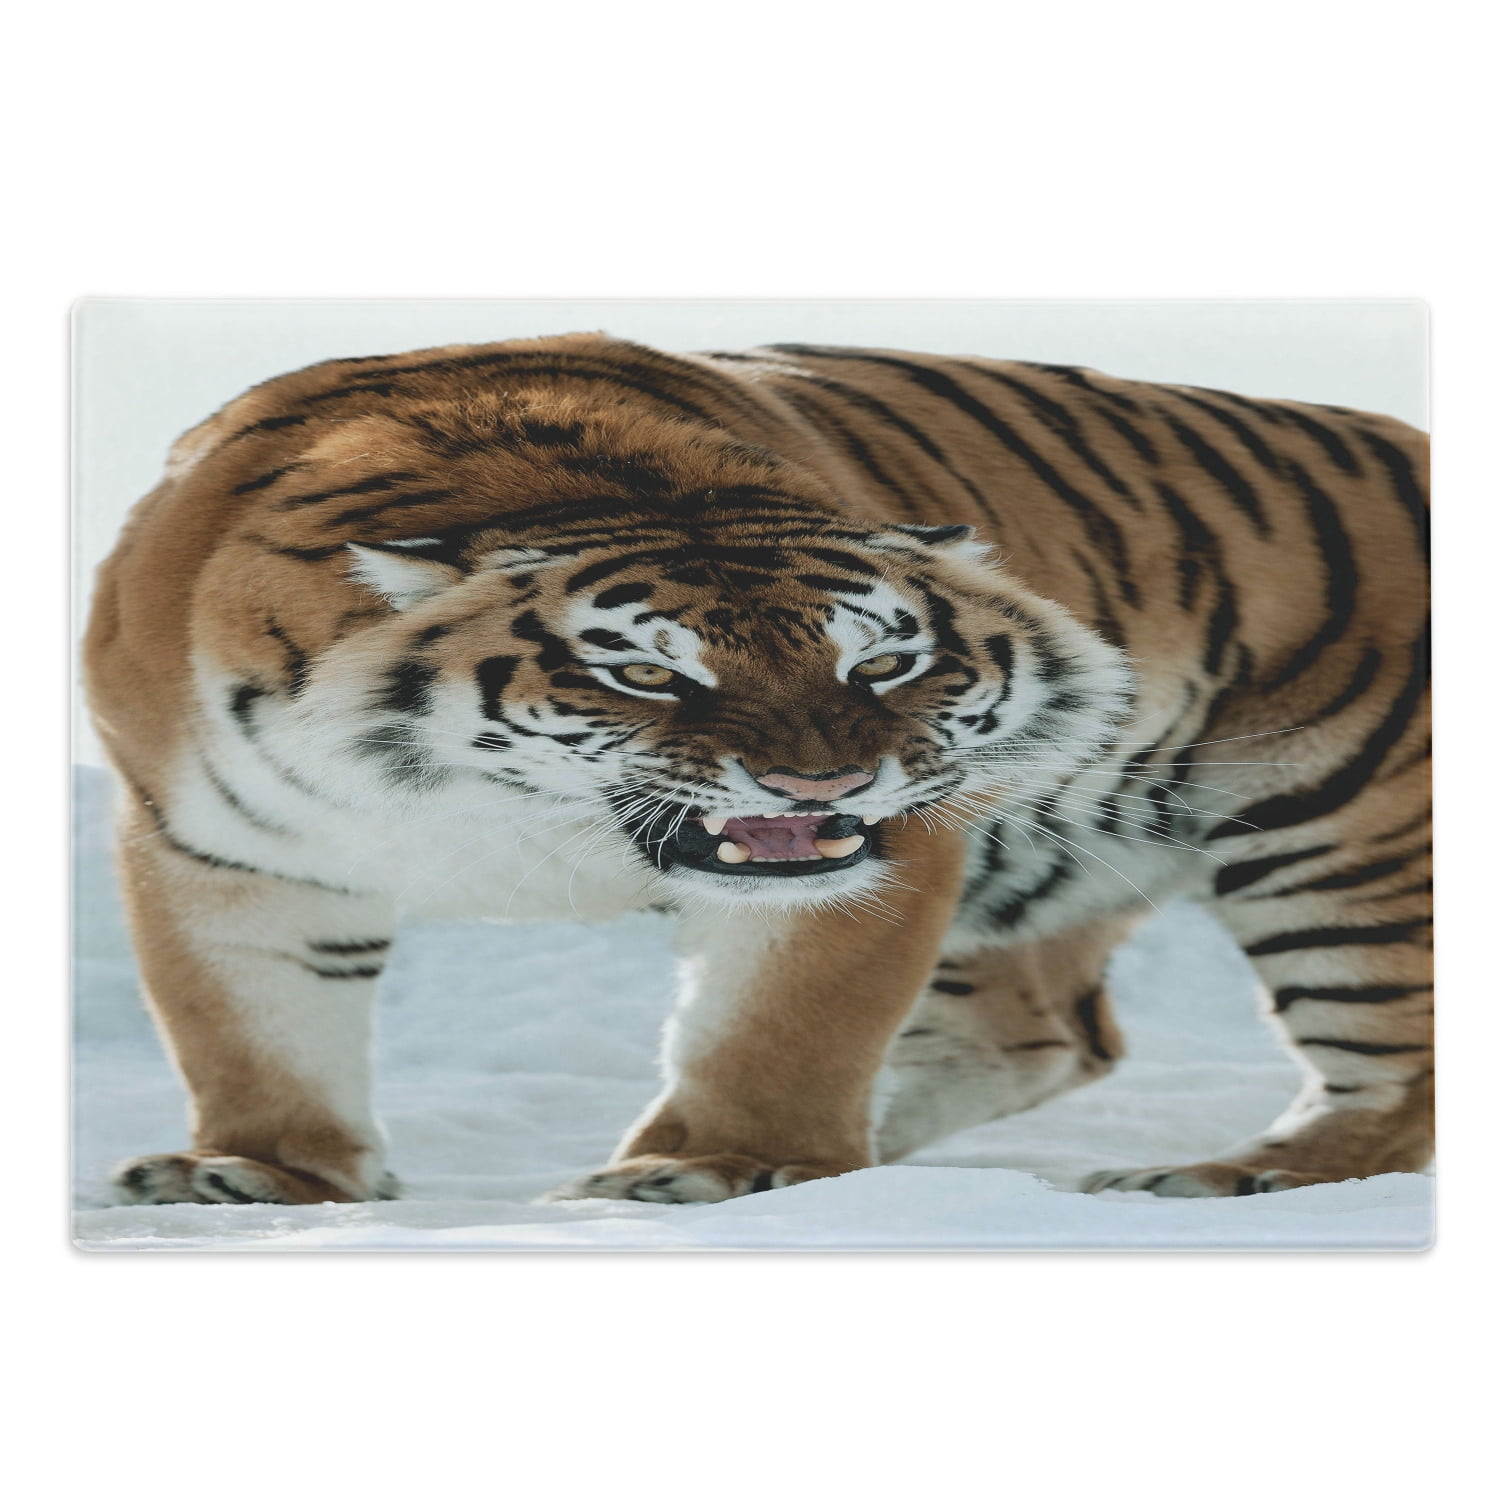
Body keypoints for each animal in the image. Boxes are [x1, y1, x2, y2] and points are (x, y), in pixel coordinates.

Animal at [83, 331, 1431, 1209]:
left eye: (882, 664)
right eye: (646, 673)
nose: (820, 792)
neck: (492, 814)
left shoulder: (893, 855)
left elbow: (781, 1026)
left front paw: (719, 1165)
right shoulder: (216, 845)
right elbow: (251, 1023)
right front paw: (258, 1169)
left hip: (1342, 834)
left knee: (1392, 1081)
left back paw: (1223, 1178)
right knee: (1042, 1030)